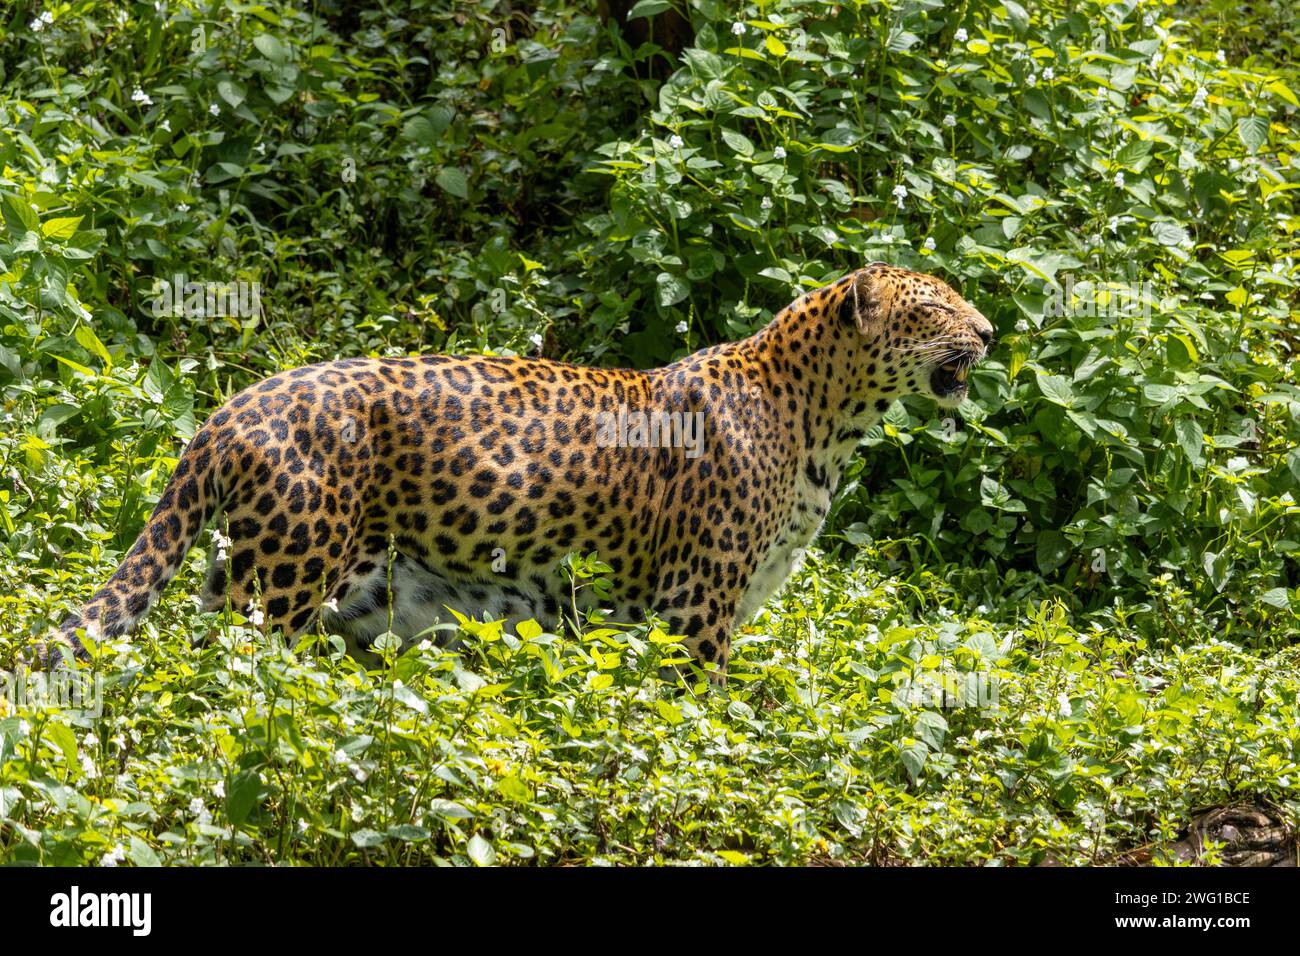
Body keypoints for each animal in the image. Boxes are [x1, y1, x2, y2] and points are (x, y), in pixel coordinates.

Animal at [44, 263, 993, 681]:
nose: (988, 333)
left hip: (264, 569)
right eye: (937, 306)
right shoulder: (696, 610)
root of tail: (232, 406)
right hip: (287, 574)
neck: (828, 424)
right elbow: (699, 715)